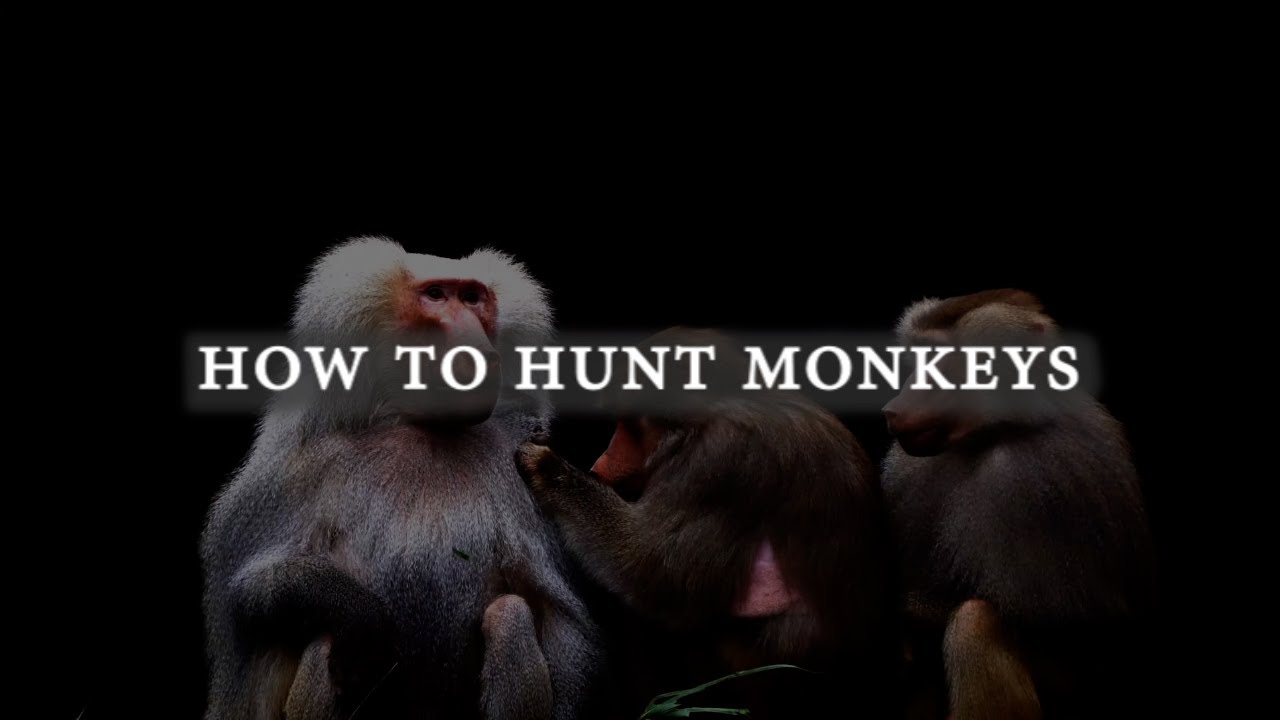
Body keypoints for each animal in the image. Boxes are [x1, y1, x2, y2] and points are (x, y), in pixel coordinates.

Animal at [201, 237, 601, 720]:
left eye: (473, 298)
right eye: (436, 295)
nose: (475, 342)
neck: (423, 429)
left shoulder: (518, 461)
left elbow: (562, 619)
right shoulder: (294, 471)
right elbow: (249, 594)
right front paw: (363, 618)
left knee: (509, 616)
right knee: (324, 638)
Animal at [880, 289, 1156, 720]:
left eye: (941, 361)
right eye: (919, 359)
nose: (893, 408)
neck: (990, 433)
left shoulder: (1033, 478)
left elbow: (1052, 621)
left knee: (975, 623)